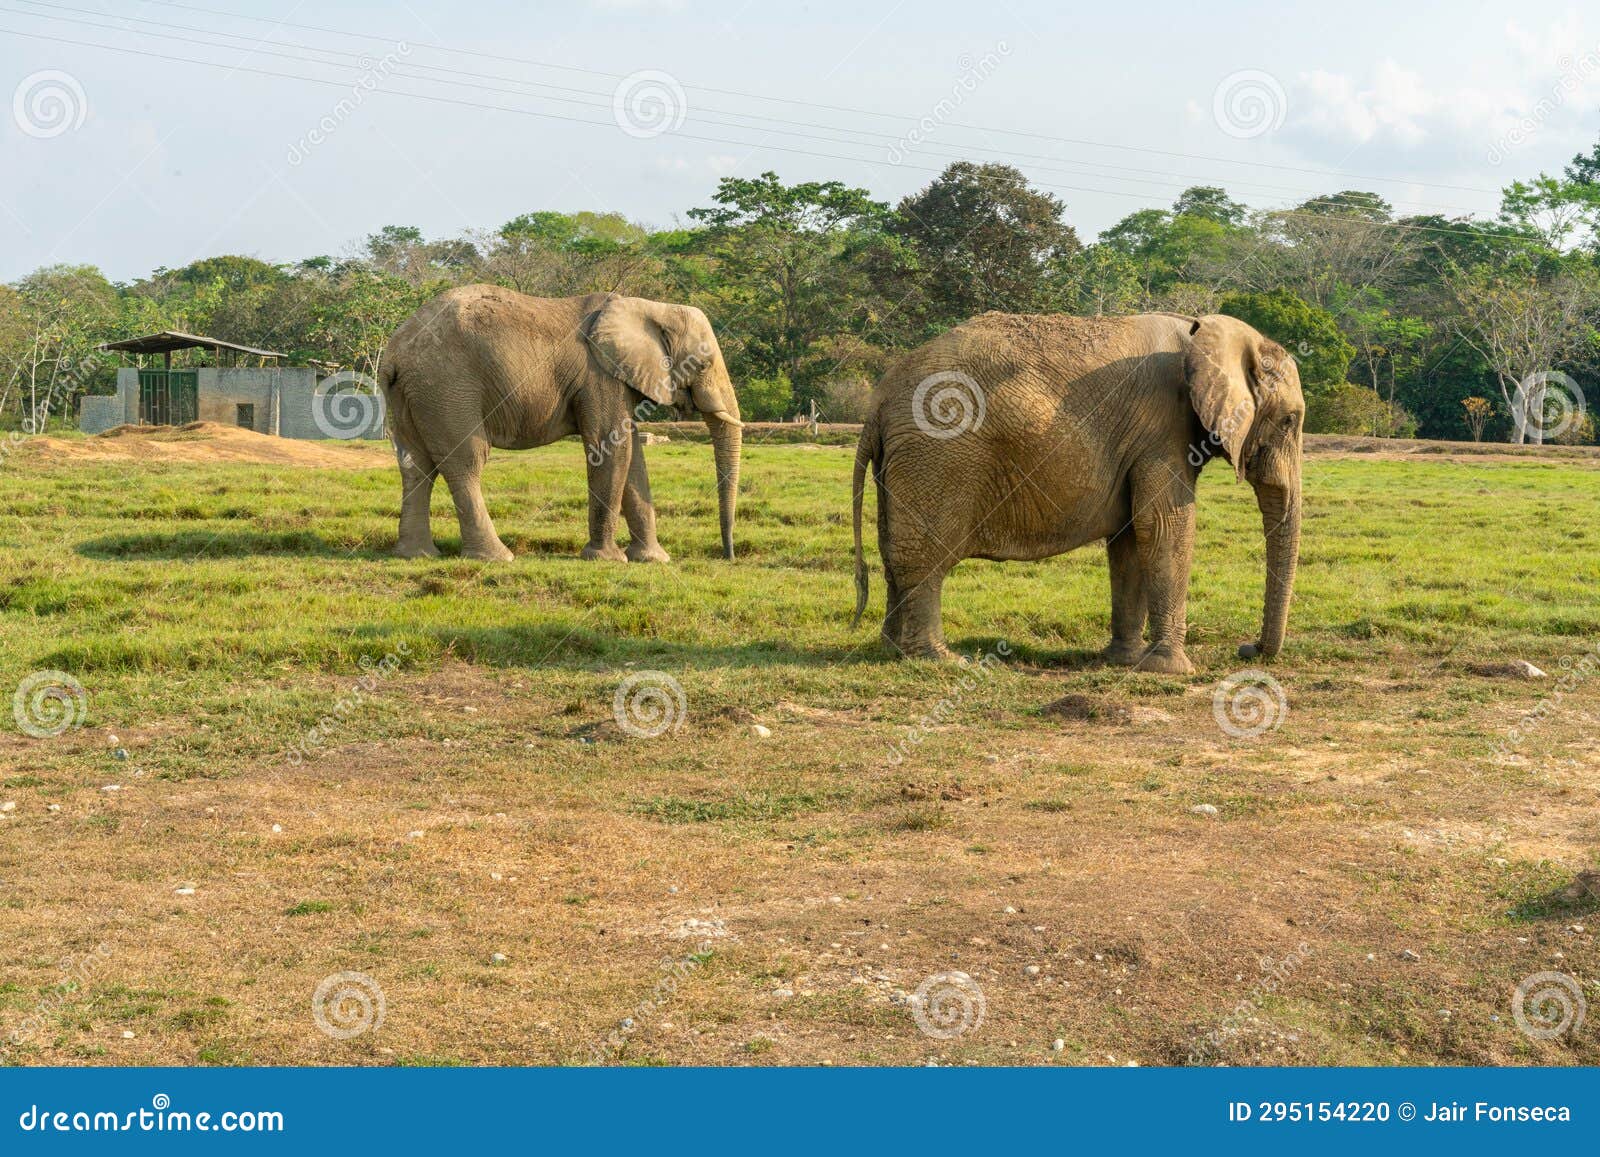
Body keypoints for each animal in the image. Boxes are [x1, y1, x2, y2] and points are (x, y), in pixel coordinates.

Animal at [379, 285, 743, 562]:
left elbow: (632, 456)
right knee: (466, 460)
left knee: (416, 464)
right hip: (446, 386)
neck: (650, 307)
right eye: (702, 364)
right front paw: (607, 560)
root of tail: (393, 352)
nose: (728, 555)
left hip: (413, 393)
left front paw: (653, 560)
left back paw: (415, 555)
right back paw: (497, 558)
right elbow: (610, 448)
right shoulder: (599, 377)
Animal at [850, 312, 1303, 674]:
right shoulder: (1162, 432)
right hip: (937, 456)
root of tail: (878, 404)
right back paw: (941, 660)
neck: (1205, 330)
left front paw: (1123, 660)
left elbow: (1131, 537)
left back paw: (891, 651)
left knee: (893, 552)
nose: (1248, 649)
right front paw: (1171, 670)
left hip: (903, 462)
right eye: (1289, 421)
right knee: (924, 559)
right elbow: (1163, 525)